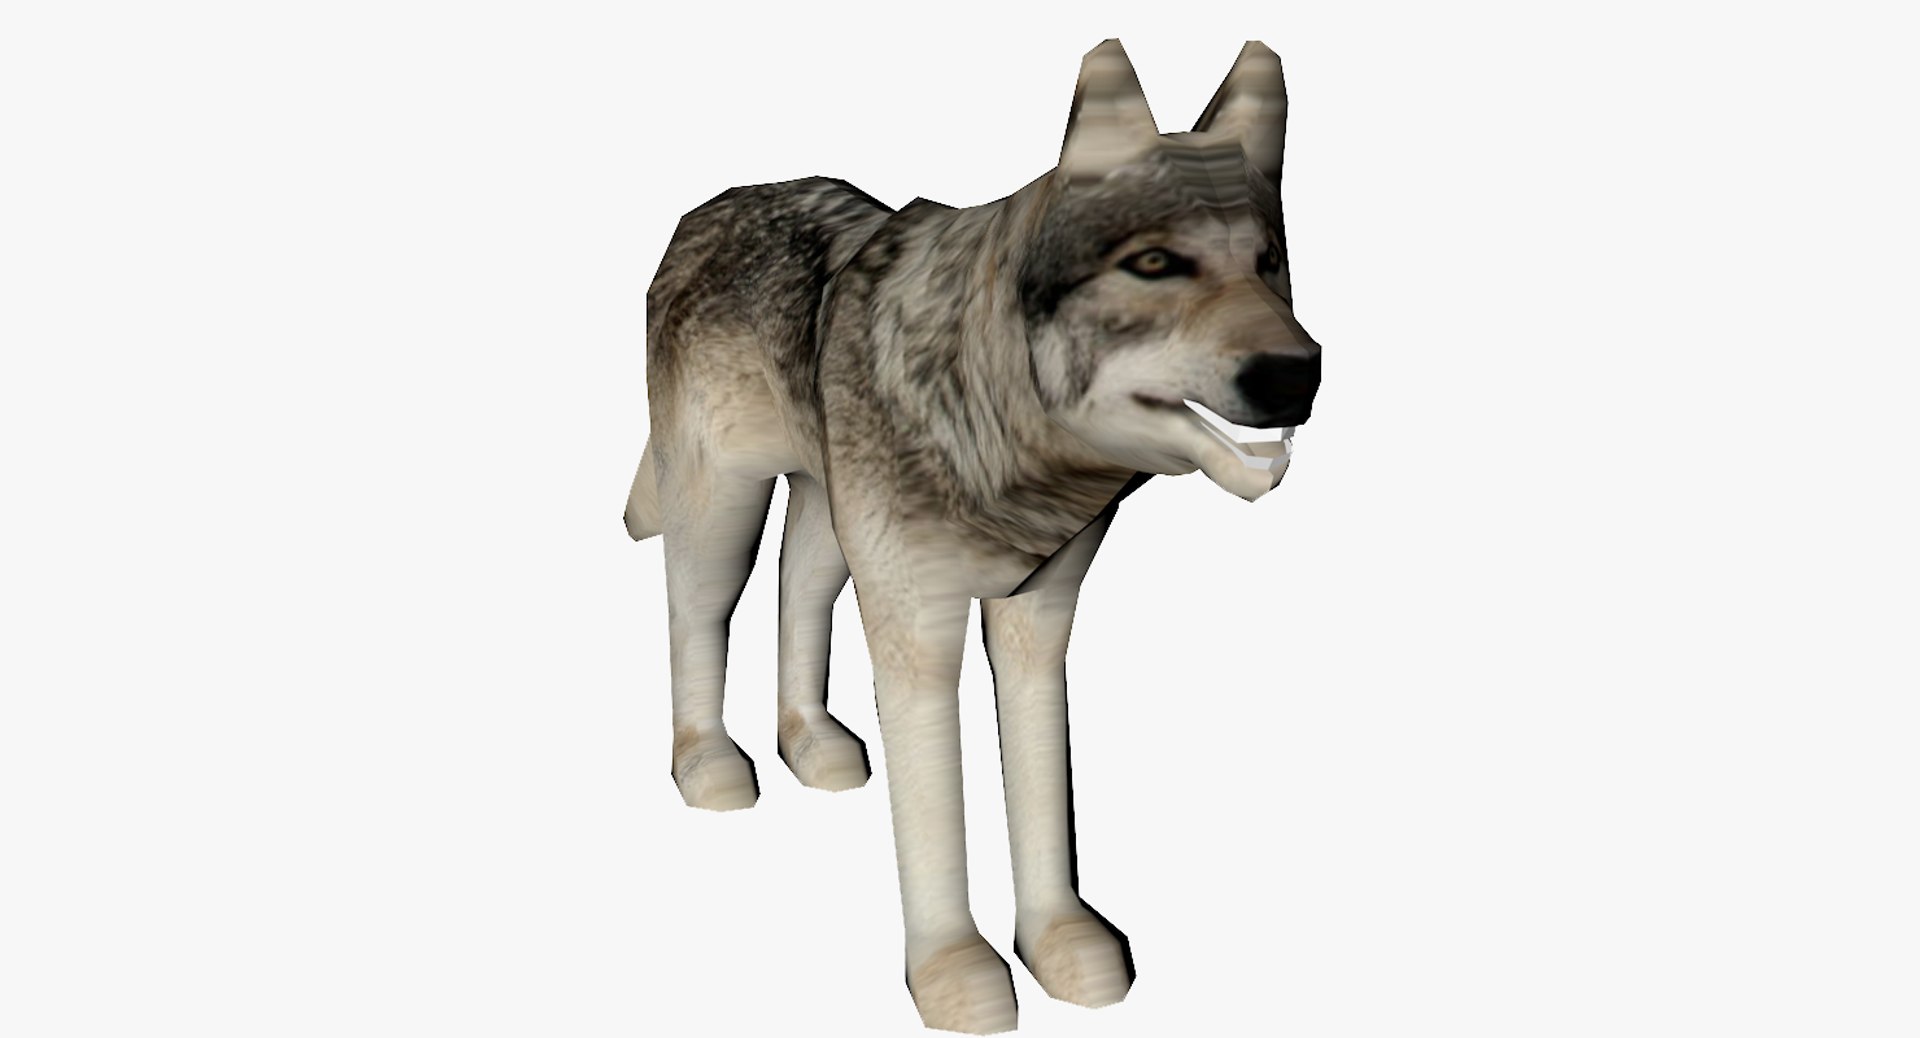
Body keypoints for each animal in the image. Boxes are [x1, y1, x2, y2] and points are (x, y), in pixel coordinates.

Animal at [622, 40, 1322, 1033]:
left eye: (1267, 265)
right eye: (1155, 262)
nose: (1297, 376)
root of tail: (710, 208)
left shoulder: (1037, 618)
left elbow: (1040, 777)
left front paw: (1061, 945)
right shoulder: (919, 624)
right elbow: (934, 798)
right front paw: (955, 973)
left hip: (832, 517)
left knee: (799, 590)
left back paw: (811, 744)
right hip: (725, 508)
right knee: (698, 611)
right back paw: (708, 765)